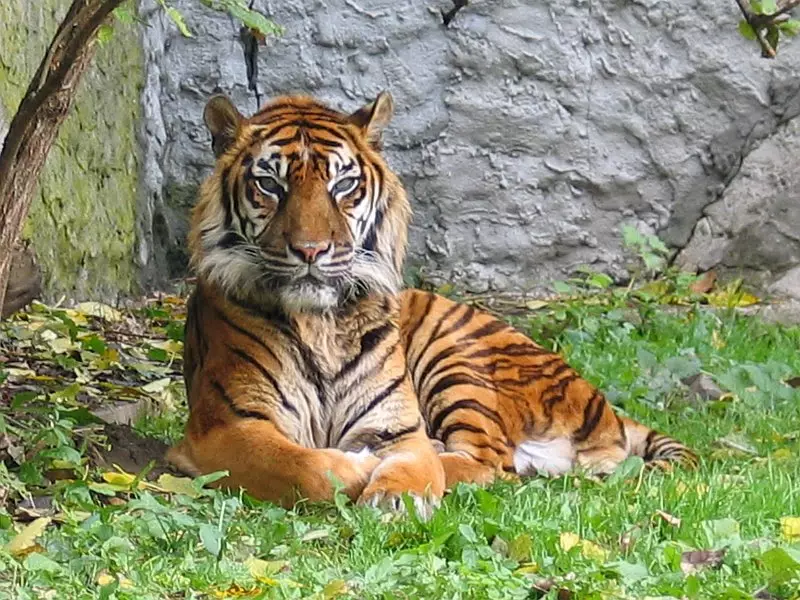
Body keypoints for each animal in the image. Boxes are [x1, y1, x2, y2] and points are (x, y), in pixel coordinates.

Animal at [166, 91, 446, 512]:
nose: (310, 250)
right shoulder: (227, 425)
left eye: (344, 184)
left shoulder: (400, 428)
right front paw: (360, 466)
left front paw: (396, 499)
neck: (320, 324)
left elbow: (417, 468)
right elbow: (304, 466)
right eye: (269, 184)